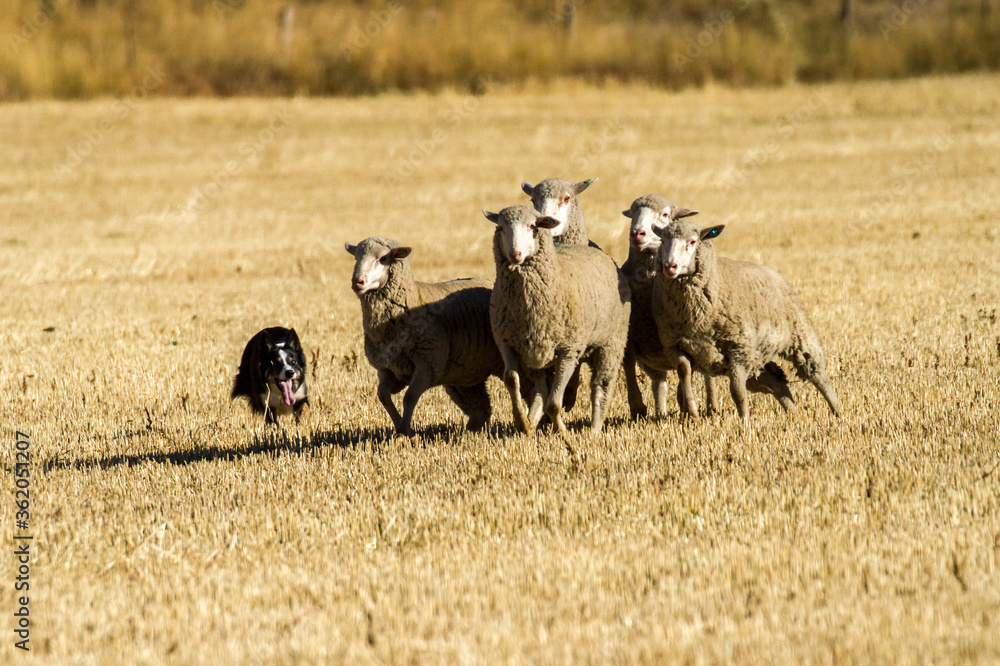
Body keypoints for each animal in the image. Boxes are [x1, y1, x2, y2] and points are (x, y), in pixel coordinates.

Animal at [345, 236, 503, 436]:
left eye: (382, 258)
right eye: (356, 257)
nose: (357, 281)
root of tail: (490, 283)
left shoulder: (426, 365)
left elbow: (409, 397)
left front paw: (405, 432)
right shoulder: (388, 368)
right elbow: (383, 396)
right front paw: (399, 427)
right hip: (466, 372)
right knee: (480, 407)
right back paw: (474, 431)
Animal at [483, 205, 631, 434]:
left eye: (532, 226)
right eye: (500, 227)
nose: (515, 254)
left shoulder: (568, 351)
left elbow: (554, 403)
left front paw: (561, 431)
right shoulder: (506, 342)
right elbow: (511, 379)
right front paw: (521, 422)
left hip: (611, 341)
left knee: (602, 384)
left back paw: (594, 430)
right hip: (534, 352)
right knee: (540, 389)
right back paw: (532, 420)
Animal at [650, 220, 842, 419]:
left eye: (692, 241)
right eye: (662, 241)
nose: (669, 266)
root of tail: (774, 273)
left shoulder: (739, 349)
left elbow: (737, 391)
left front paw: (744, 421)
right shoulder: (676, 345)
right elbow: (684, 372)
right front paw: (692, 413)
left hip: (800, 336)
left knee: (818, 376)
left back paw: (838, 412)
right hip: (758, 356)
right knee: (778, 385)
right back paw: (793, 414)